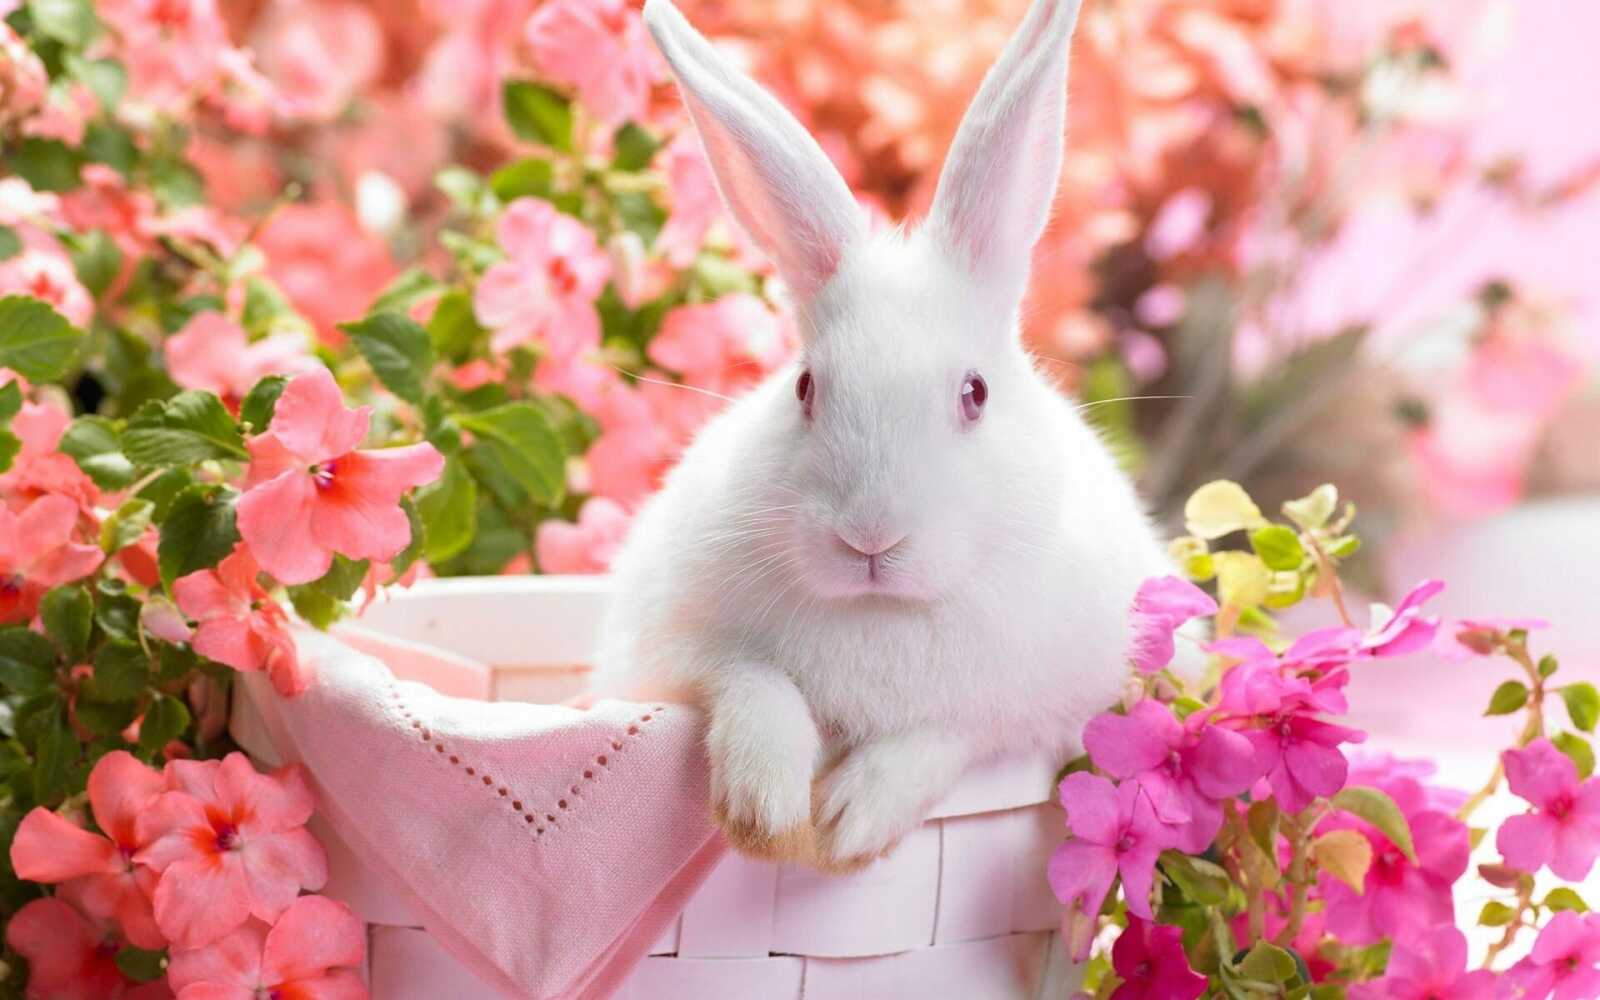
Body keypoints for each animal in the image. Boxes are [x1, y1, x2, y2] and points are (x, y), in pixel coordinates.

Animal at [591, 0, 1182, 872]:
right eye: (805, 388)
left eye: (975, 394)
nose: (869, 538)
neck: (882, 612)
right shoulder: (671, 649)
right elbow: (752, 682)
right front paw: (766, 810)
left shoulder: (1043, 703)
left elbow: (947, 733)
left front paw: (849, 820)